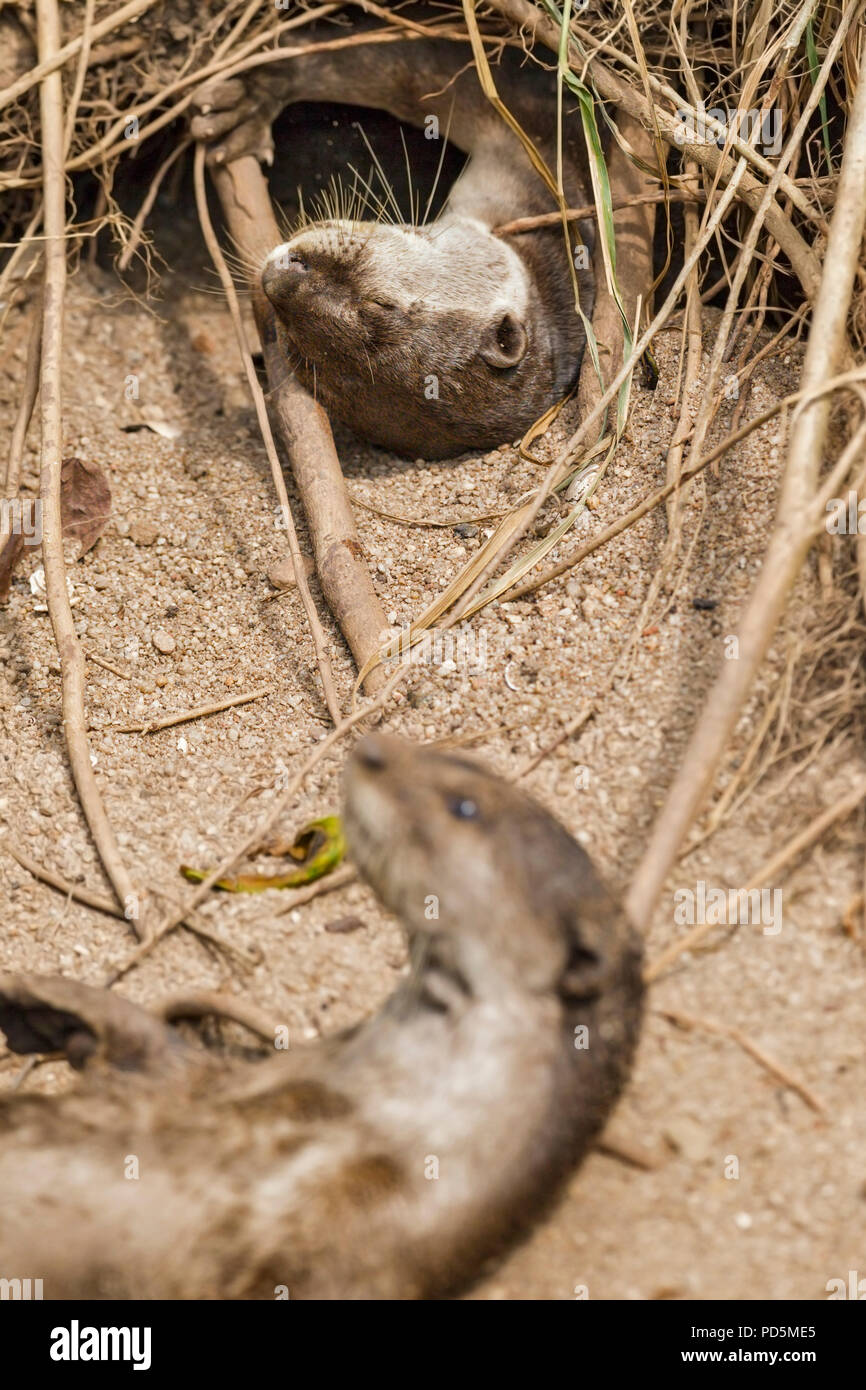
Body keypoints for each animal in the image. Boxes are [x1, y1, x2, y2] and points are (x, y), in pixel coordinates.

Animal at [0, 735, 642, 1300]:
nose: (376, 747)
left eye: (464, 805)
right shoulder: (209, 1083)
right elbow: (145, 1047)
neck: (362, 1117)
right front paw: (32, 1001)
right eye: (466, 763)